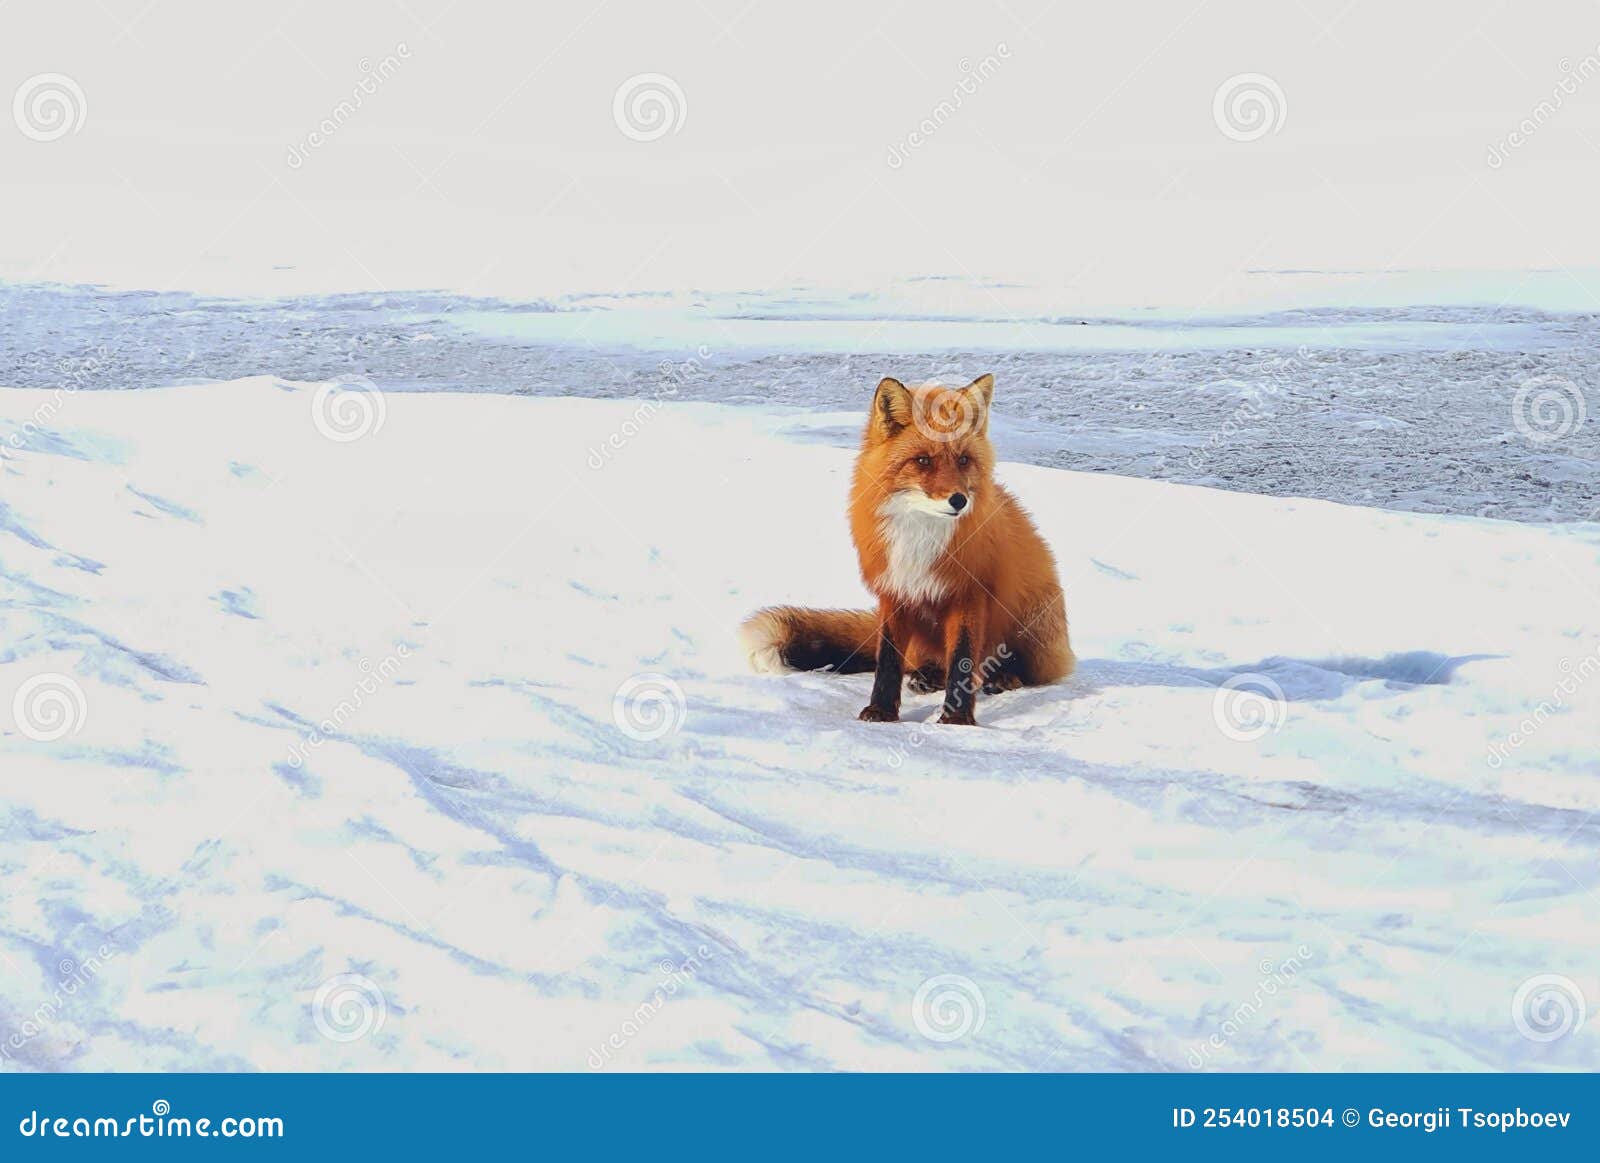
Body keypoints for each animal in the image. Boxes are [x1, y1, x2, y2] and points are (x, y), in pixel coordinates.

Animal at [739, 373, 1073, 727]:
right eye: (923, 460)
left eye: (963, 460)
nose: (959, 501)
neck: (920, 537)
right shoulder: (894, 589)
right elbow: (887, 659)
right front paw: (881, 711)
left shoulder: (969, 593)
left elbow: (963, 659)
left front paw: (956, 720)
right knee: (924, 661)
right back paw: (929, 676)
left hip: (1032, 623)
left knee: (1020, 670)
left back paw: (1003, 677)